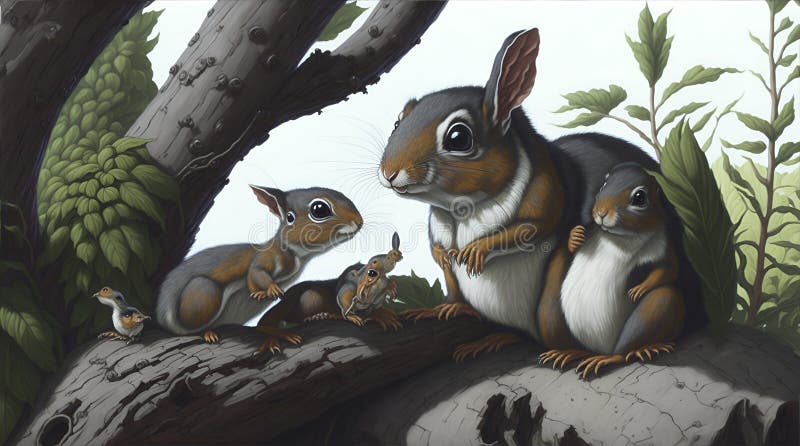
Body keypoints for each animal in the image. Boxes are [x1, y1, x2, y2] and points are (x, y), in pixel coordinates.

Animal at [155, 185, 363, 344]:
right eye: (320, 209)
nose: (359, 221)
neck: (296, 256)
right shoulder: (264, 259)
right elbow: (256, 273)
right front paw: (270, 290)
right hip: (204, 294)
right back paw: (208, 332)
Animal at [254, 232, 403, 354]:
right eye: (373, 263)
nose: (394, 254)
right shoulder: (348, 290)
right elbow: (344, 302)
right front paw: (352, 316)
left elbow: (376, 308)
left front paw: (385, 308)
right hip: (309, 298)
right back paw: (317, 316)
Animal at [540, 163, 686, 378]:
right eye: (604, 184)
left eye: (640, 197)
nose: (601, 212)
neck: (618, 237)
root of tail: (598, 348)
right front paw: (574, 237)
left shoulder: (662, 244)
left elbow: (669, 269)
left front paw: (639, 289)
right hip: (551, 315)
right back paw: (567, 351)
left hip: (658, 307)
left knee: (622, 352)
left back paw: (639, 349)